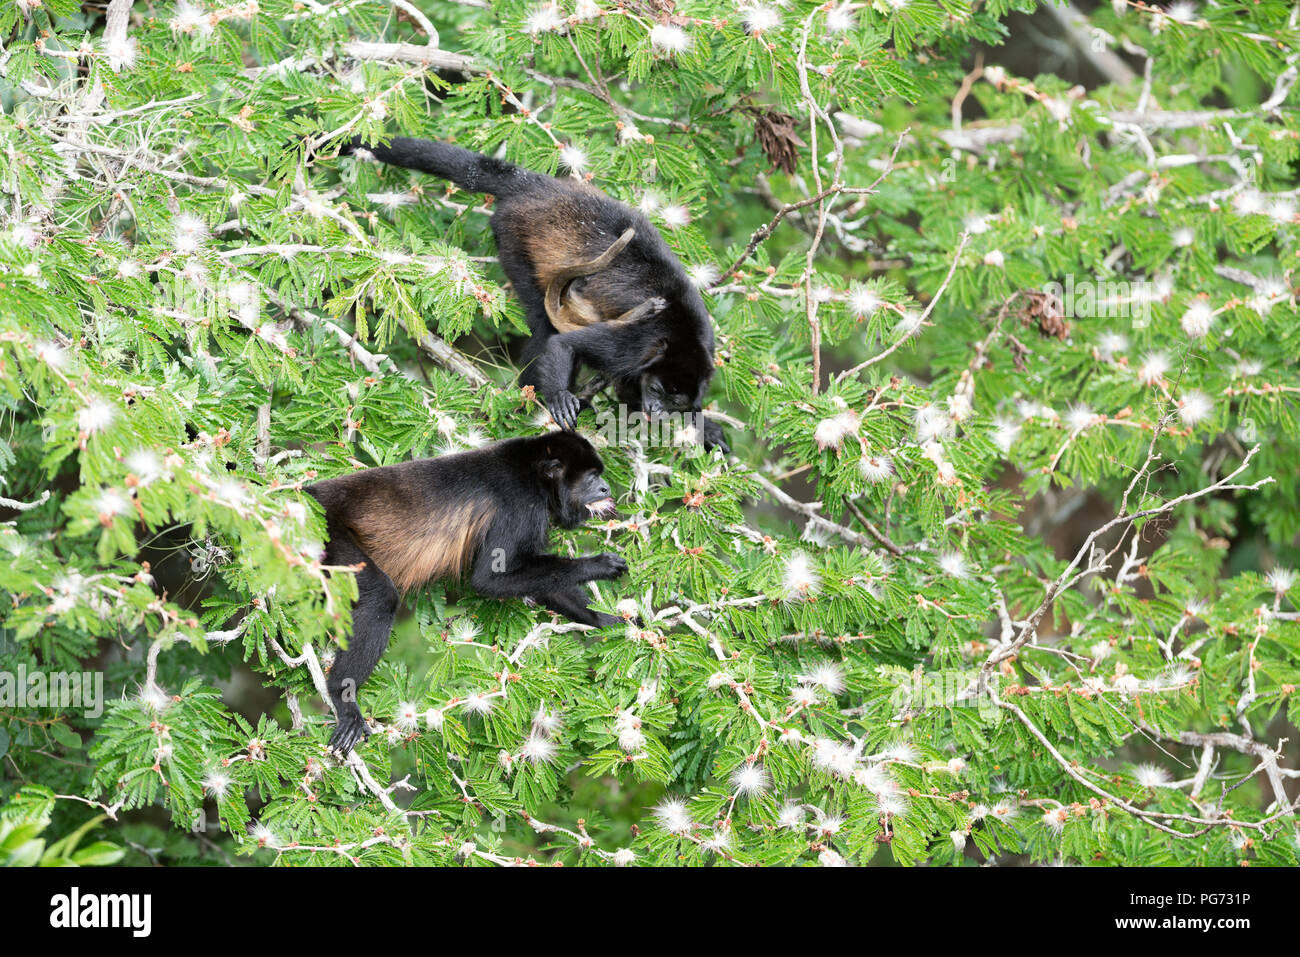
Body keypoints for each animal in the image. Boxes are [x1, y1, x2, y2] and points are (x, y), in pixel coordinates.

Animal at [305, 431, 627, 755]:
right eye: (591, 477)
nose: (606, 487)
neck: (535, 473)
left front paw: (608, 620)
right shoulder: (520, 504)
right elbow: (490, 578)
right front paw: (598, 565)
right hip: (328, 534)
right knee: (381, 597)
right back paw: (344, 698)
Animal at [337, 137, 729, 453]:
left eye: (676, 403)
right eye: (661, 390)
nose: (657, 411)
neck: (680, 339)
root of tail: (537, 186)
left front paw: (705, 428)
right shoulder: (634, 344)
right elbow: (565, 345)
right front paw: (559, 398)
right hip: (512, 233)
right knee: (543, 323)